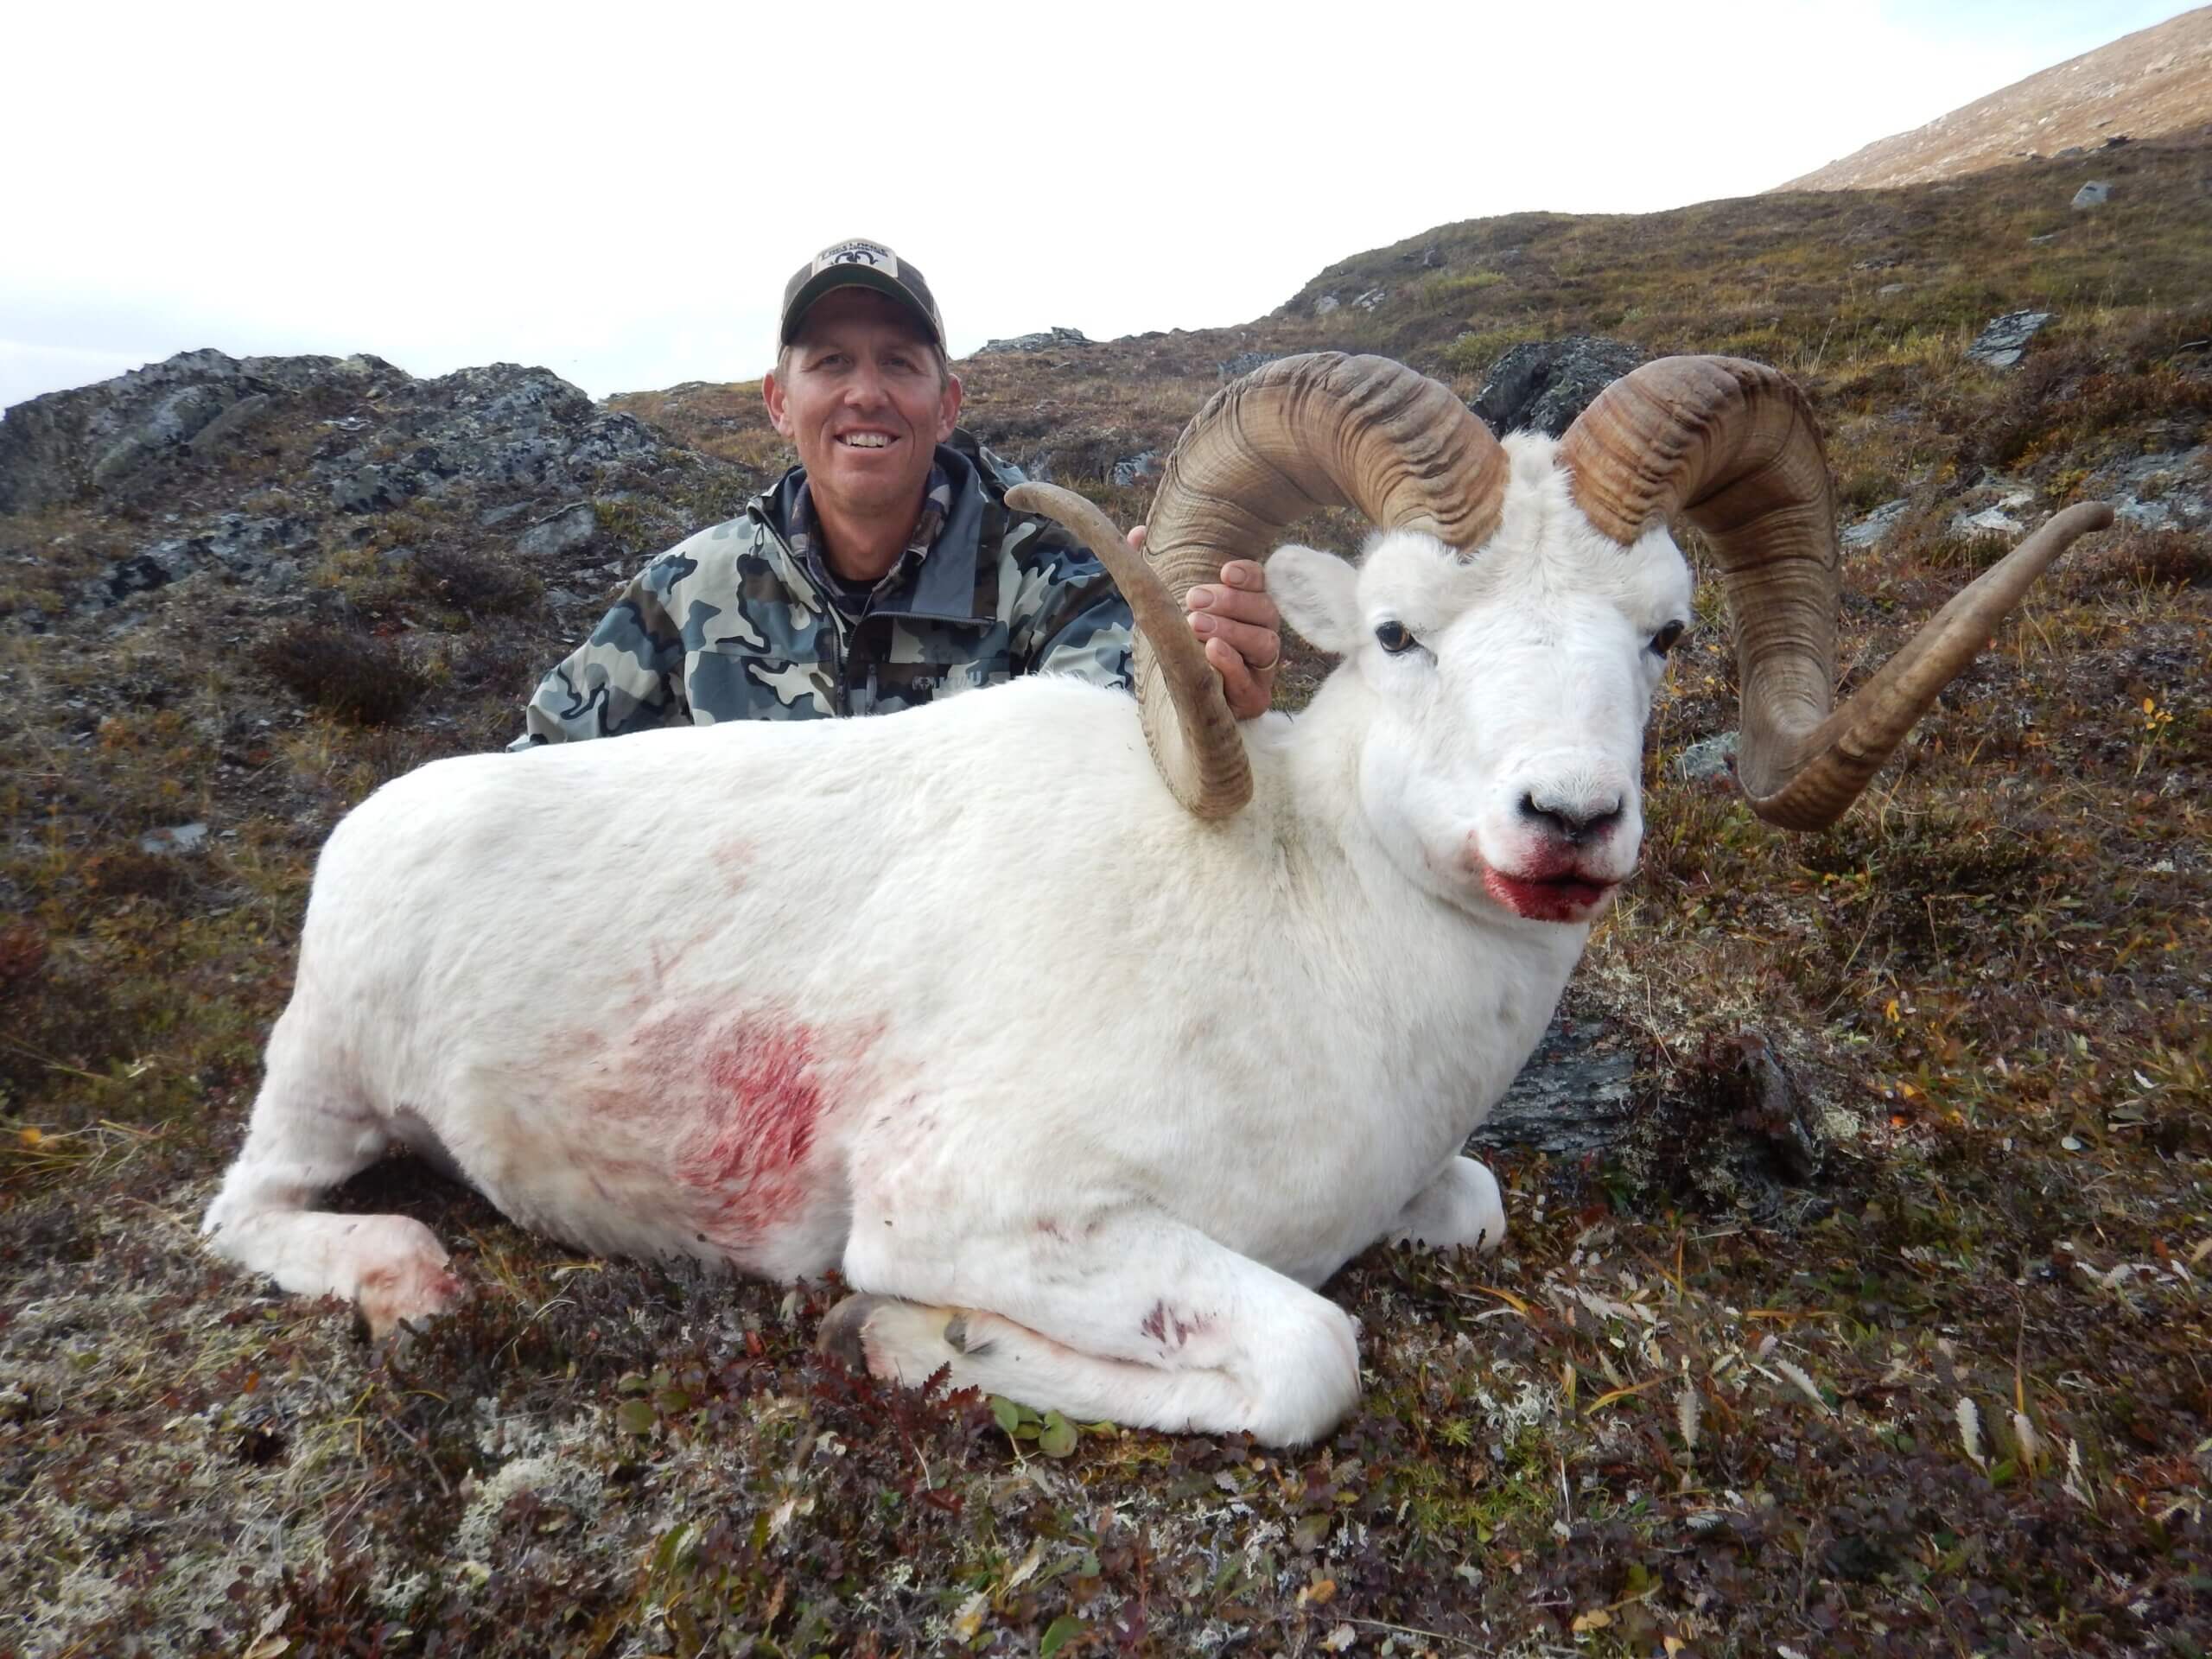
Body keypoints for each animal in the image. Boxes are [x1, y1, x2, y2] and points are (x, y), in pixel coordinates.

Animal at [201, 353, 2110, 1446]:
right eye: (1399, 630)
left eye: (1662, 635)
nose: (1565, 825)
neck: (1301, 937)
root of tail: (369, 834)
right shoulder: (1006, 1215)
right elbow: (1305, 1361)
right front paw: (912, 1342)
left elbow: (1470, 1214)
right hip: (325, 1097)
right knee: (242, 1215)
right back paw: (403, 1280)